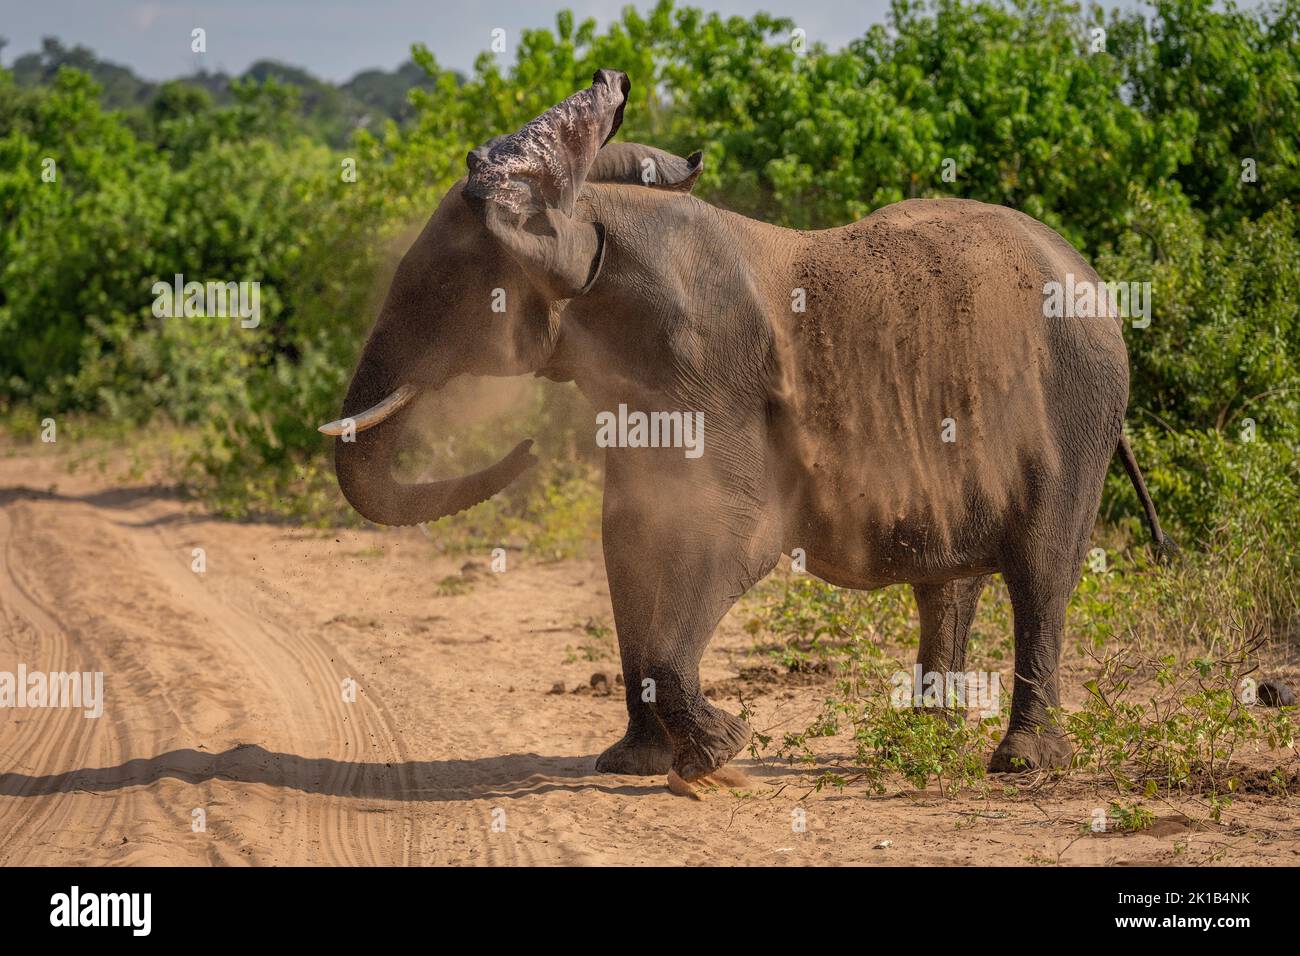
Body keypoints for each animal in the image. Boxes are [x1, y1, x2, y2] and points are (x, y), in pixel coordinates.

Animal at [320, 69, 1174, 784]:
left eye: (444, 287)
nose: (522, 448)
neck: (598, 217)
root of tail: (1097, 281)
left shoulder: (716, 379)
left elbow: (730, 534)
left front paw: (720, 751)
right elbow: (627, 541)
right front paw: (633, 764)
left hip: (1079, 409)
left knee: (1043, 573)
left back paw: (1022, 764)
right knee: (950, 585)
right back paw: (922, 740)